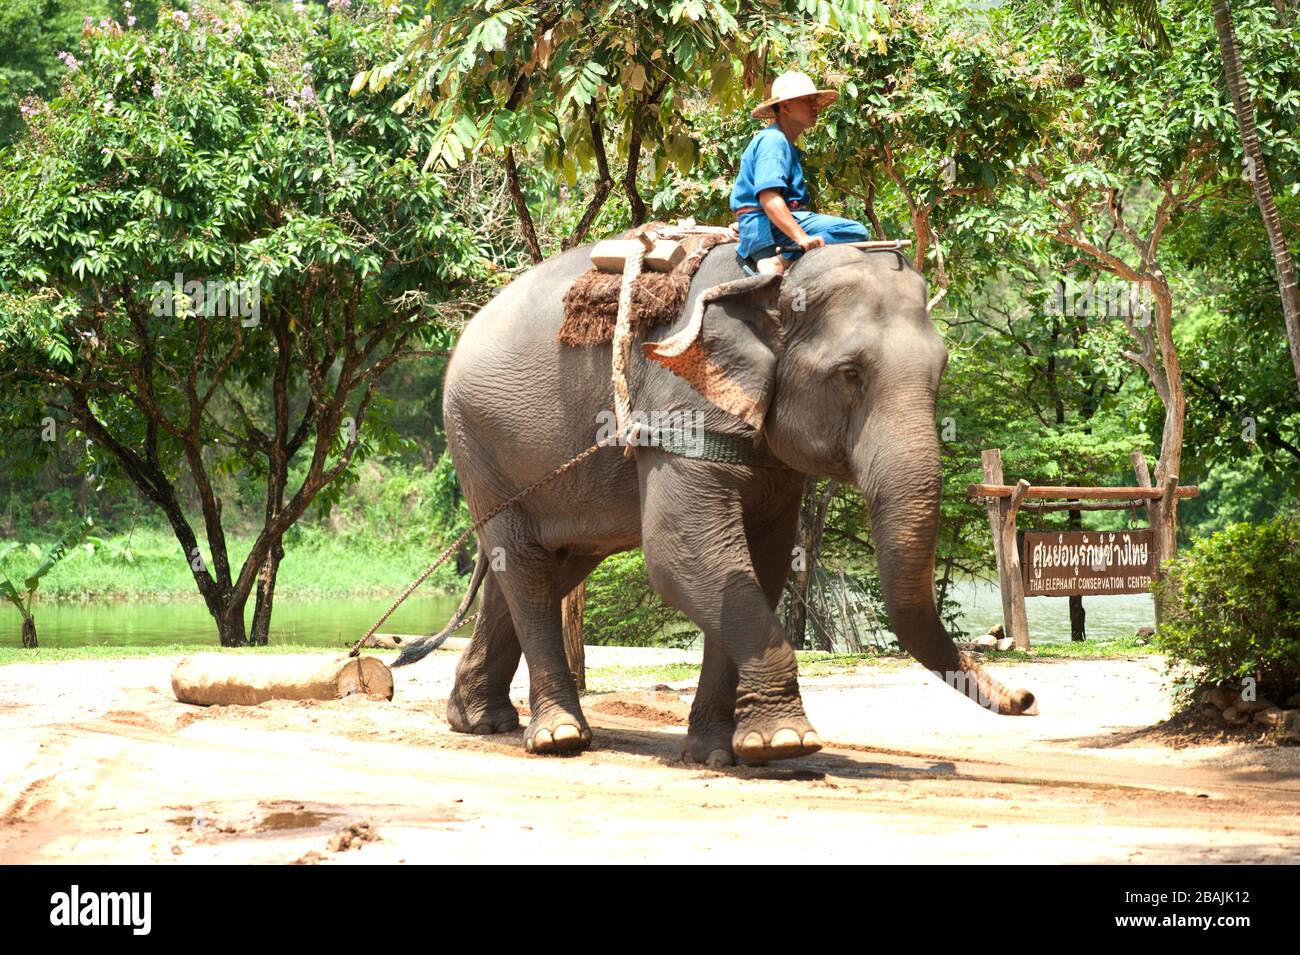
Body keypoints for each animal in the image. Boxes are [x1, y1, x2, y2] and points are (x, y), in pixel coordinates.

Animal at [396, 240, 1037, 766]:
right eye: (850, 374)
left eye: (941, 372)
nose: (1028, 697)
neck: (775, 283)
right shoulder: (679, 401)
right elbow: (682, 553)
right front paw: (786, 743)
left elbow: (762, 563)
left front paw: (718, 752)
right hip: (479, 441)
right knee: (525, 568)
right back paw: (558, 738)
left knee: (546, 566)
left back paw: (479, 721)